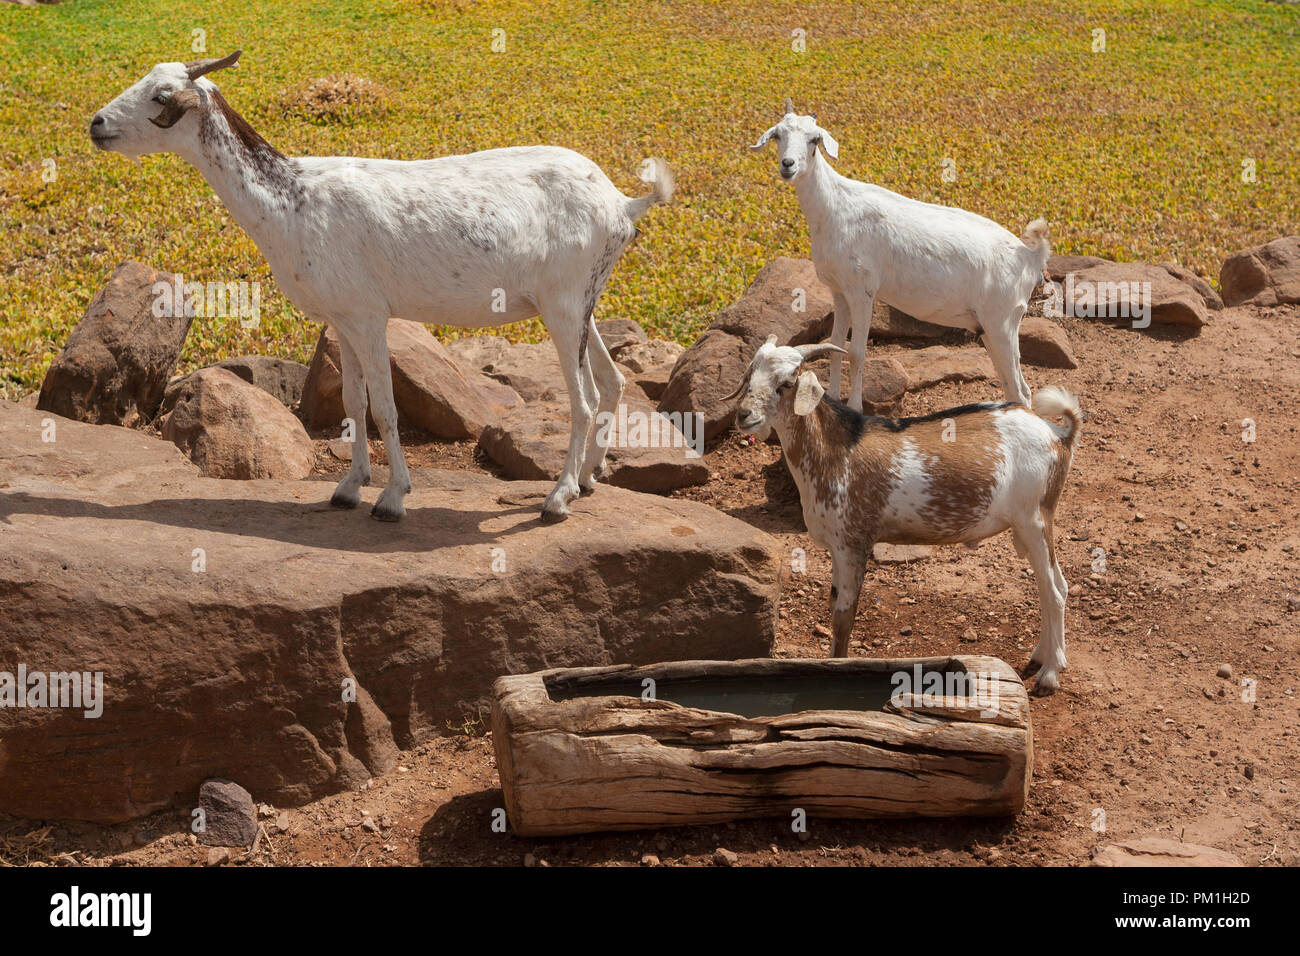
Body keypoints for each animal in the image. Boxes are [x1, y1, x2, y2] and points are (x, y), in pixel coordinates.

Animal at [90, 51, 673, 522]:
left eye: (162, 95)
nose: (96, 124)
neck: (293, 201)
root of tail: (623, 203)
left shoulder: (370, 316)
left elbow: (387, 407)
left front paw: (393, 499)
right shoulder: (342, 318)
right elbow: (354, 401)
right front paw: (349, 489)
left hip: (564, 305)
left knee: (585, 396)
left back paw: (558, 497)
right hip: (583, 303)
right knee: (613, 381)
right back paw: (590, 479)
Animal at [728, 337, 1080, 692]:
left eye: (786, 383)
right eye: (750, 375)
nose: (744, 415)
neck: (836, 450)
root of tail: (1058, 434)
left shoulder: (852, 542)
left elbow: (843, 615)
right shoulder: (836, 548)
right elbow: (833, 604)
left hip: (1034, 518)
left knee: (1054, 590)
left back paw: (1050, 673)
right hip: (1026, 525)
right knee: (1052, 585)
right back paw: (1041, 656)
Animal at [750, 99, 1050, 413]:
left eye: (814, 139)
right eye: (778, 135)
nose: (788, 165)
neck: (835, 208)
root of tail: (1030, 257)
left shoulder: (862, 292)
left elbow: (856, 353)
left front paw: (855, 409)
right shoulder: (839, 292)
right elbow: (835, 347)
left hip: (1003, 324)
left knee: (1022, 392)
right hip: (988, 328)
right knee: (1014, 388)